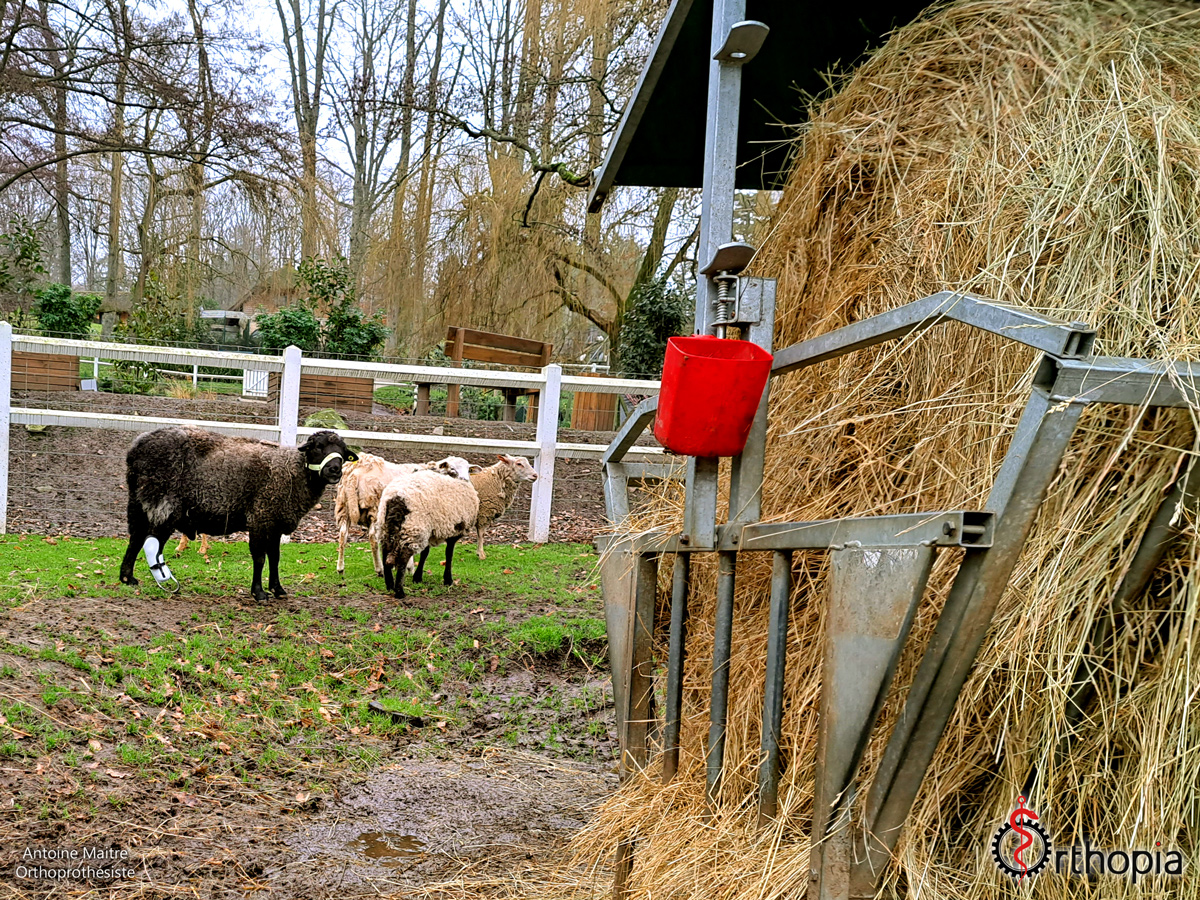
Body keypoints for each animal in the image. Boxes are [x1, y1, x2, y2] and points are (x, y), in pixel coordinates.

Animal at [118, 427, 356, 602]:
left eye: (344, 452)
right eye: (318, 447)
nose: (334, 470)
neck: (294, 472)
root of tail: (136, 447)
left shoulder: (274, 521)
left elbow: (275, 557)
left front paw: (278, 589)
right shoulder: (260, 516)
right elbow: (260, 558)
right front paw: (259, 593)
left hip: (138, 502)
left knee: (136, 538)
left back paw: (127, 578)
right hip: (163, 503)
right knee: (149, 542)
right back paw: (159, 577)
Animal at [335, 452, 471, 575]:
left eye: (468, 470)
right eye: (452, 469)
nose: (465, 481)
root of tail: (354, 474)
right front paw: (409, 568)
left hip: (343, 506)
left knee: (342, 534)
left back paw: (340, 568)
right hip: (374, 506)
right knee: (373, 537)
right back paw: (379, 569)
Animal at [377, 468, 479, 599]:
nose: (464, 478)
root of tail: (397, 497)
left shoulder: (430, 532)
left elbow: (425, 553)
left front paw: (417, 577)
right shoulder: (454, 532)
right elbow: (449, 554)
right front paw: (448, 580)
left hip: (385, 527)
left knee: (385, 552)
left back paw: (390, 585)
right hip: (414, 528)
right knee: (403, 558)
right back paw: (399, 592)